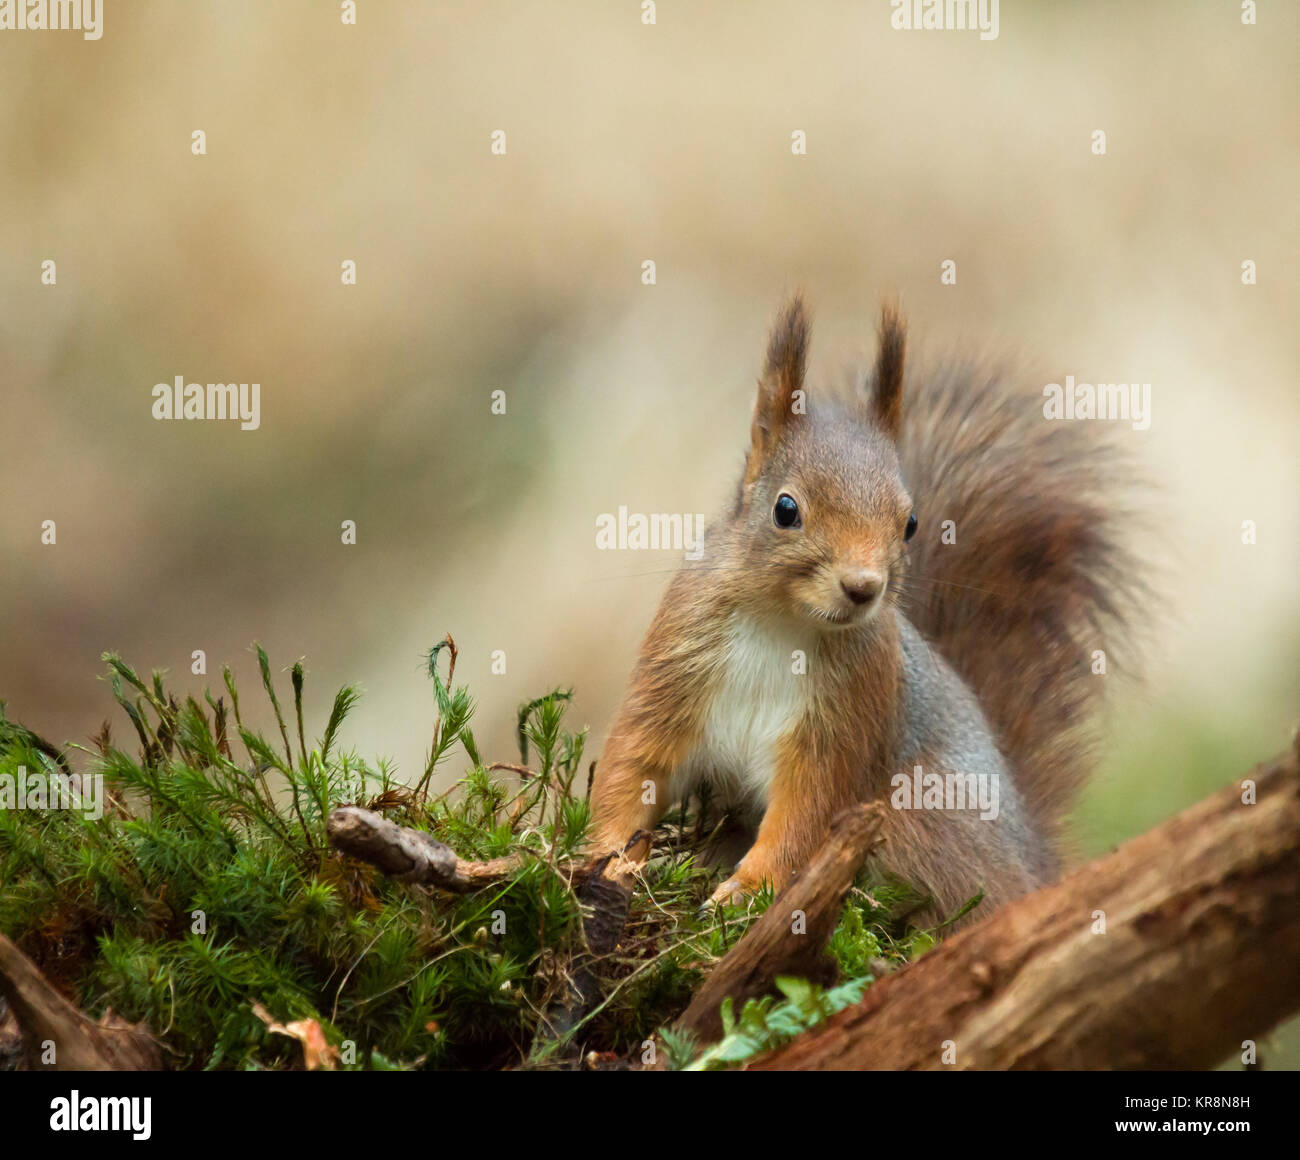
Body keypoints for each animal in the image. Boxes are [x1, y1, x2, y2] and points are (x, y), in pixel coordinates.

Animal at [587, 295, 1138, 920]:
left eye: (911, 522)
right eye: (785, 509)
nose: (863, 586)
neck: (781, 624)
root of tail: (1037, 864)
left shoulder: (849, 719)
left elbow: (805, 815)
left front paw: (745, 895)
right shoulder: (675, 666)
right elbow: (635, 765)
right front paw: (609, 863)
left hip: (920, 815)